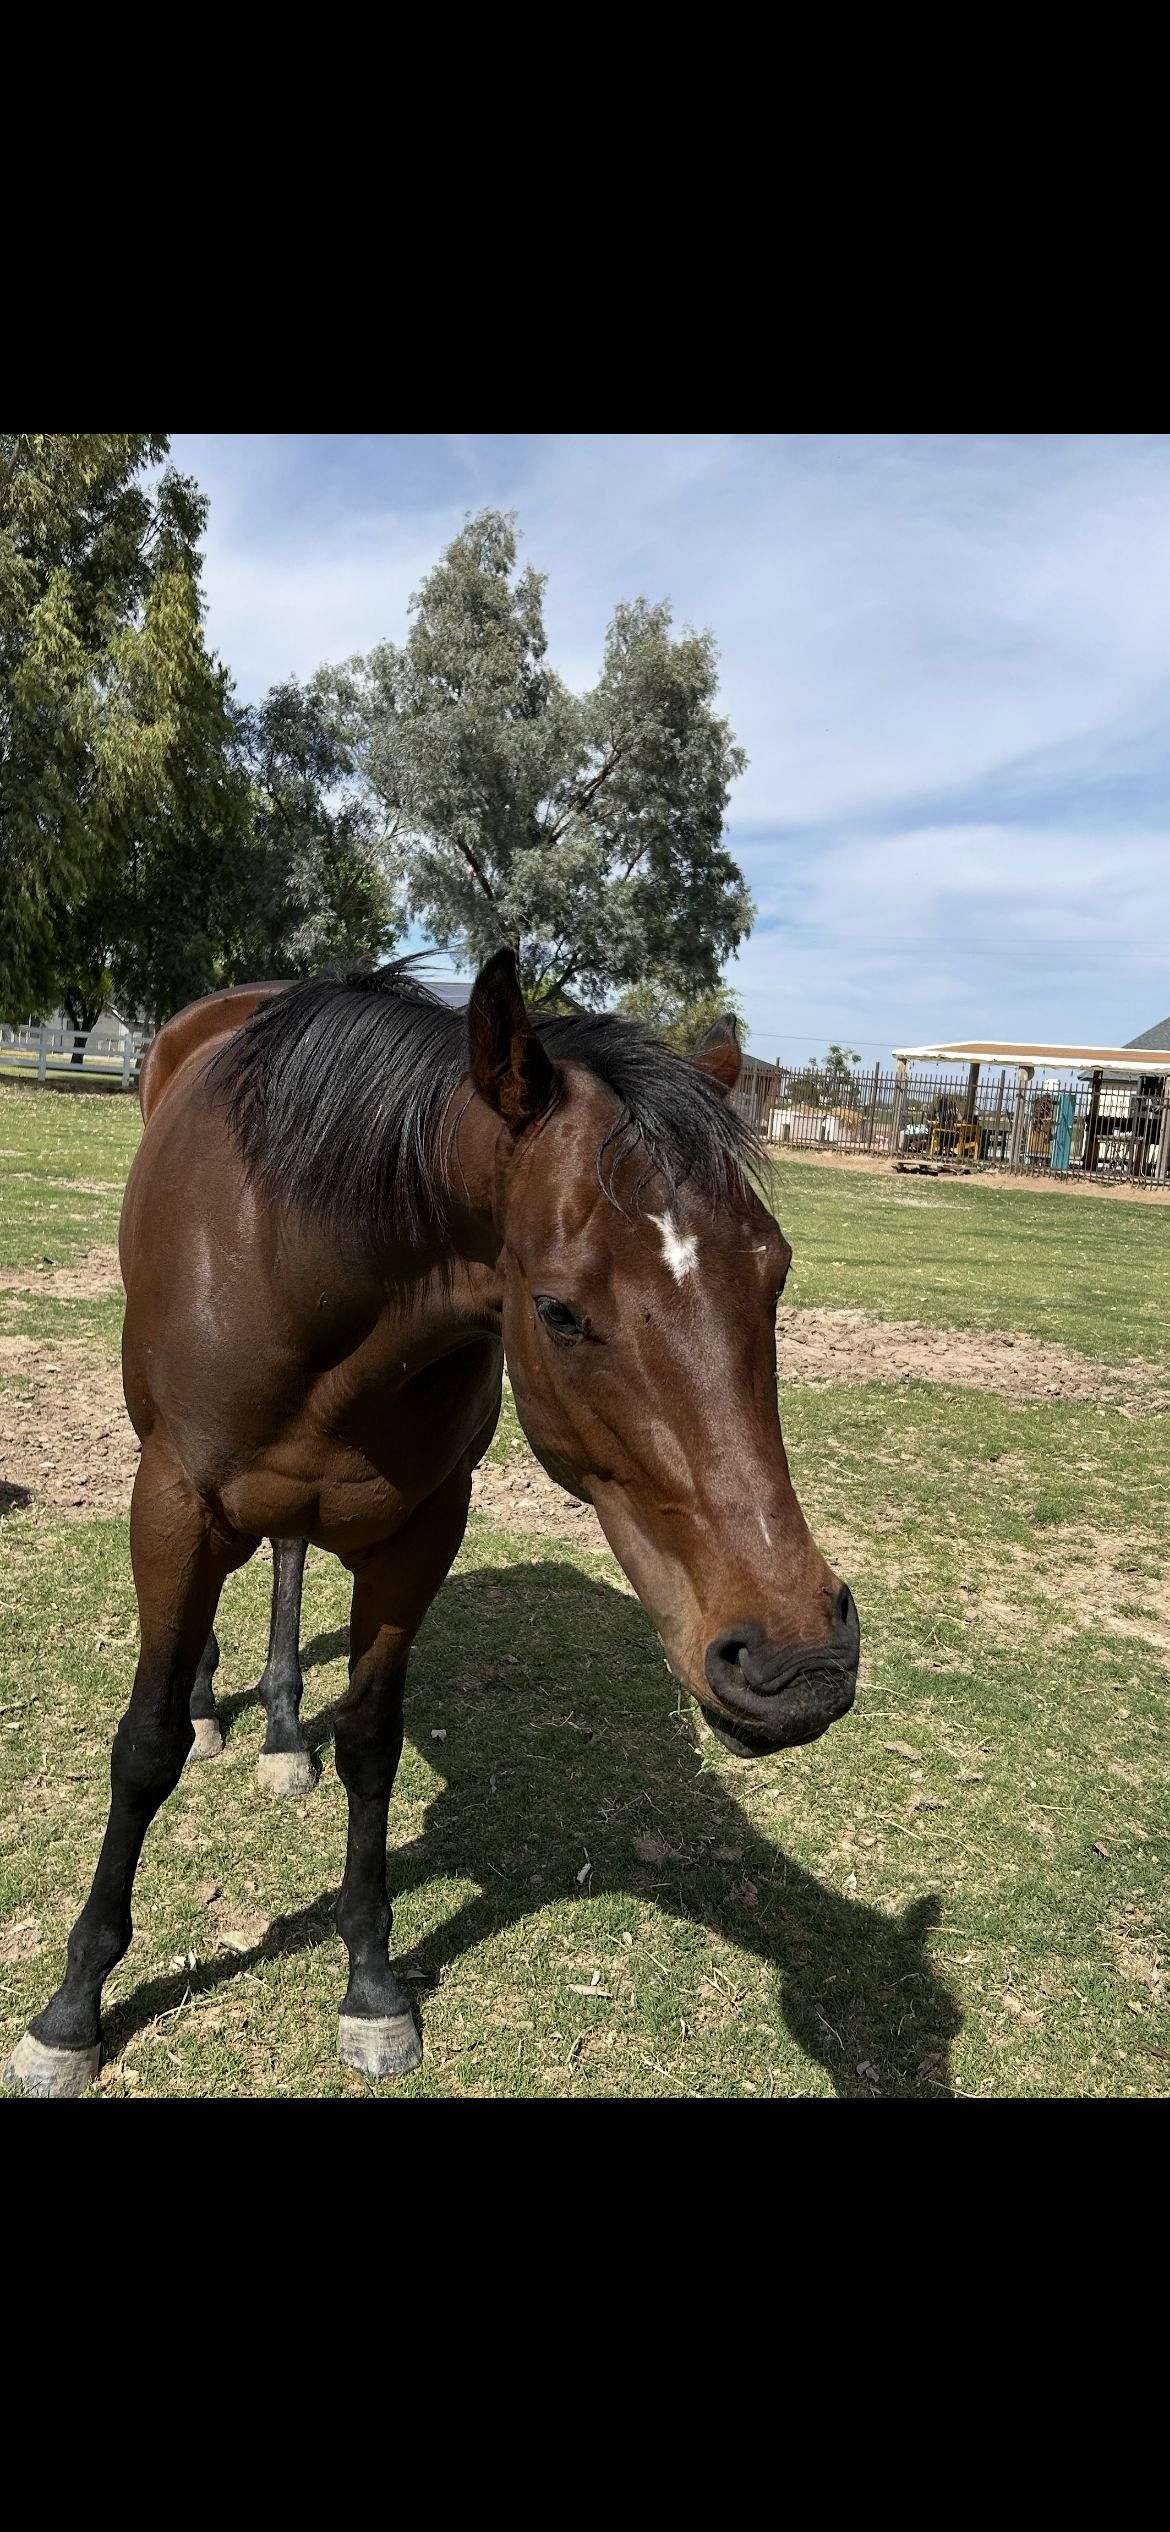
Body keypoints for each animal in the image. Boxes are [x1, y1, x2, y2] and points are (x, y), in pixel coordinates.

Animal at [3, 952, 860, 2097]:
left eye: (775, 1271)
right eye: (559, 1311)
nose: (798, 1659)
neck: (304, 1256)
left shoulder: (422, 1528)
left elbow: (372, 1743)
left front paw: (371, 1984)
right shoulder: (172, 1502)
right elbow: (141, 1750)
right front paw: (71, 2010)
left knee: (288, 1558)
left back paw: (283, 1729)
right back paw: (214, 1702)